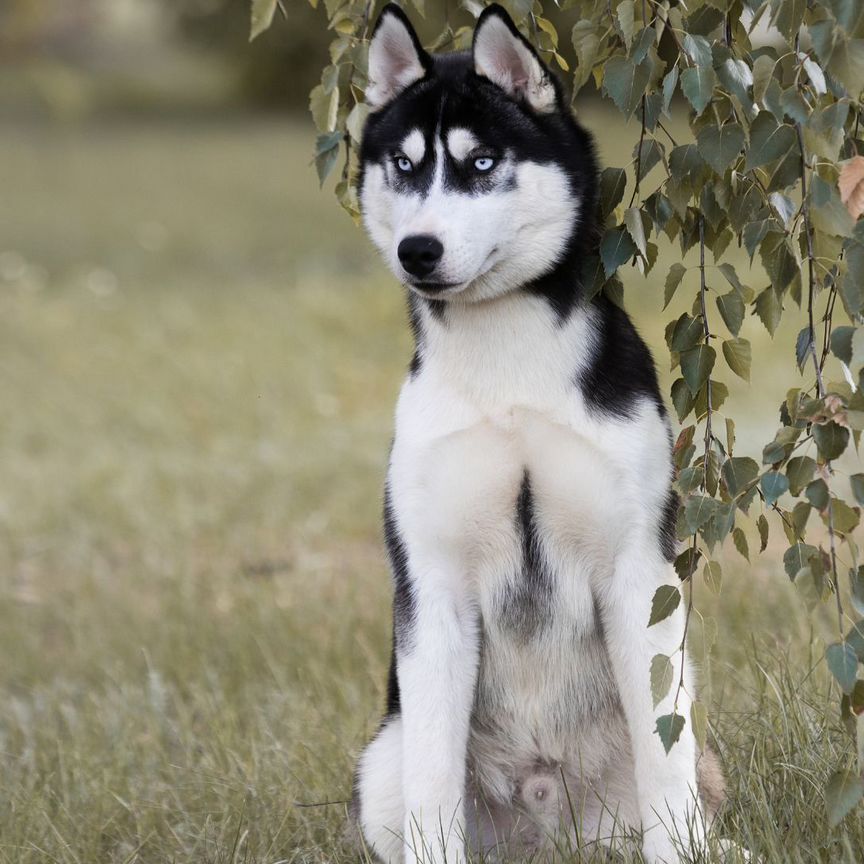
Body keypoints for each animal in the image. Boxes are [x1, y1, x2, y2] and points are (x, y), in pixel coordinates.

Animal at [350, 3, 724, 860]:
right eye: (404, 165)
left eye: (482, 162)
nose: (417, 250)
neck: (508, 369)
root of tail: (548, 825)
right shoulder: (431, 586)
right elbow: (433, 781)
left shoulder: (639, 572)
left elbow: (664, 762)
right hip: (378, 761)